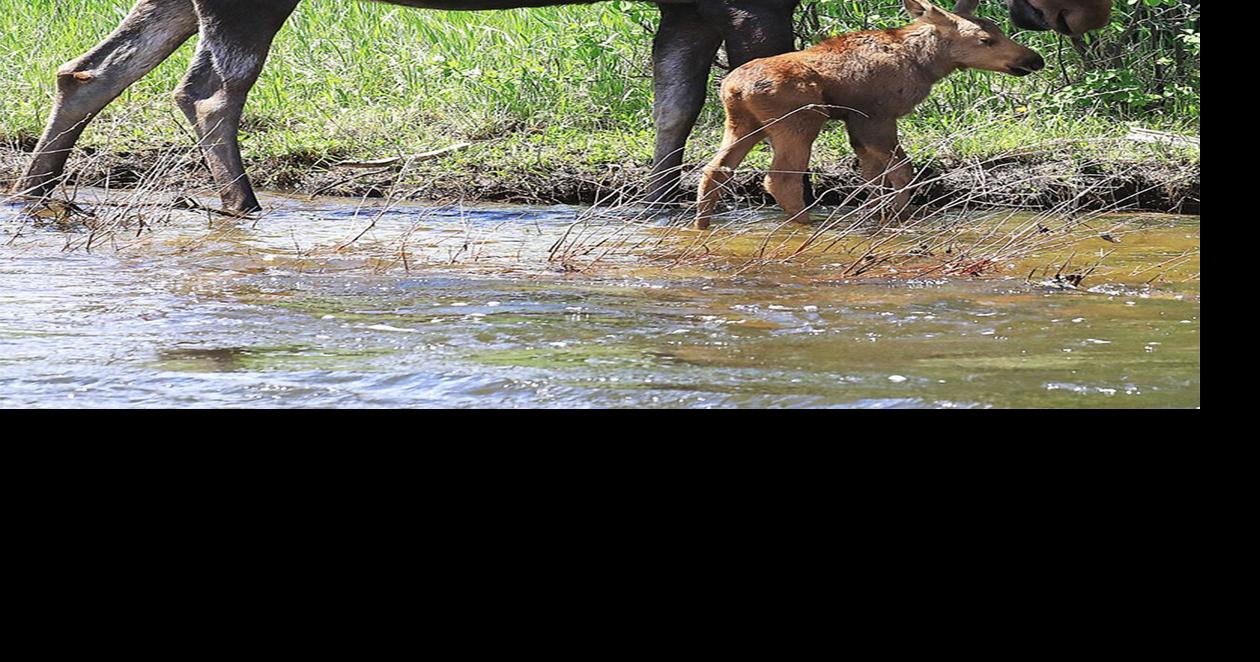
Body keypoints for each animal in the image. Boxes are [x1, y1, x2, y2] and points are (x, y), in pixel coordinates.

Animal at [695, 0, 1045, 229]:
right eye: (986, 40)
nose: (1035, 59)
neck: (927, 65)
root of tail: (733, 88)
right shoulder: (877, 116)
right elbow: (902, 171)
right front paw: (899, 217)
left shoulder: (858, 125)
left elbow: (873, 177)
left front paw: (876, 216)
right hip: (800, 122)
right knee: (781, 179)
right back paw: (808, 225)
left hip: (742, 123)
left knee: (715, 170)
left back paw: (702, 225)